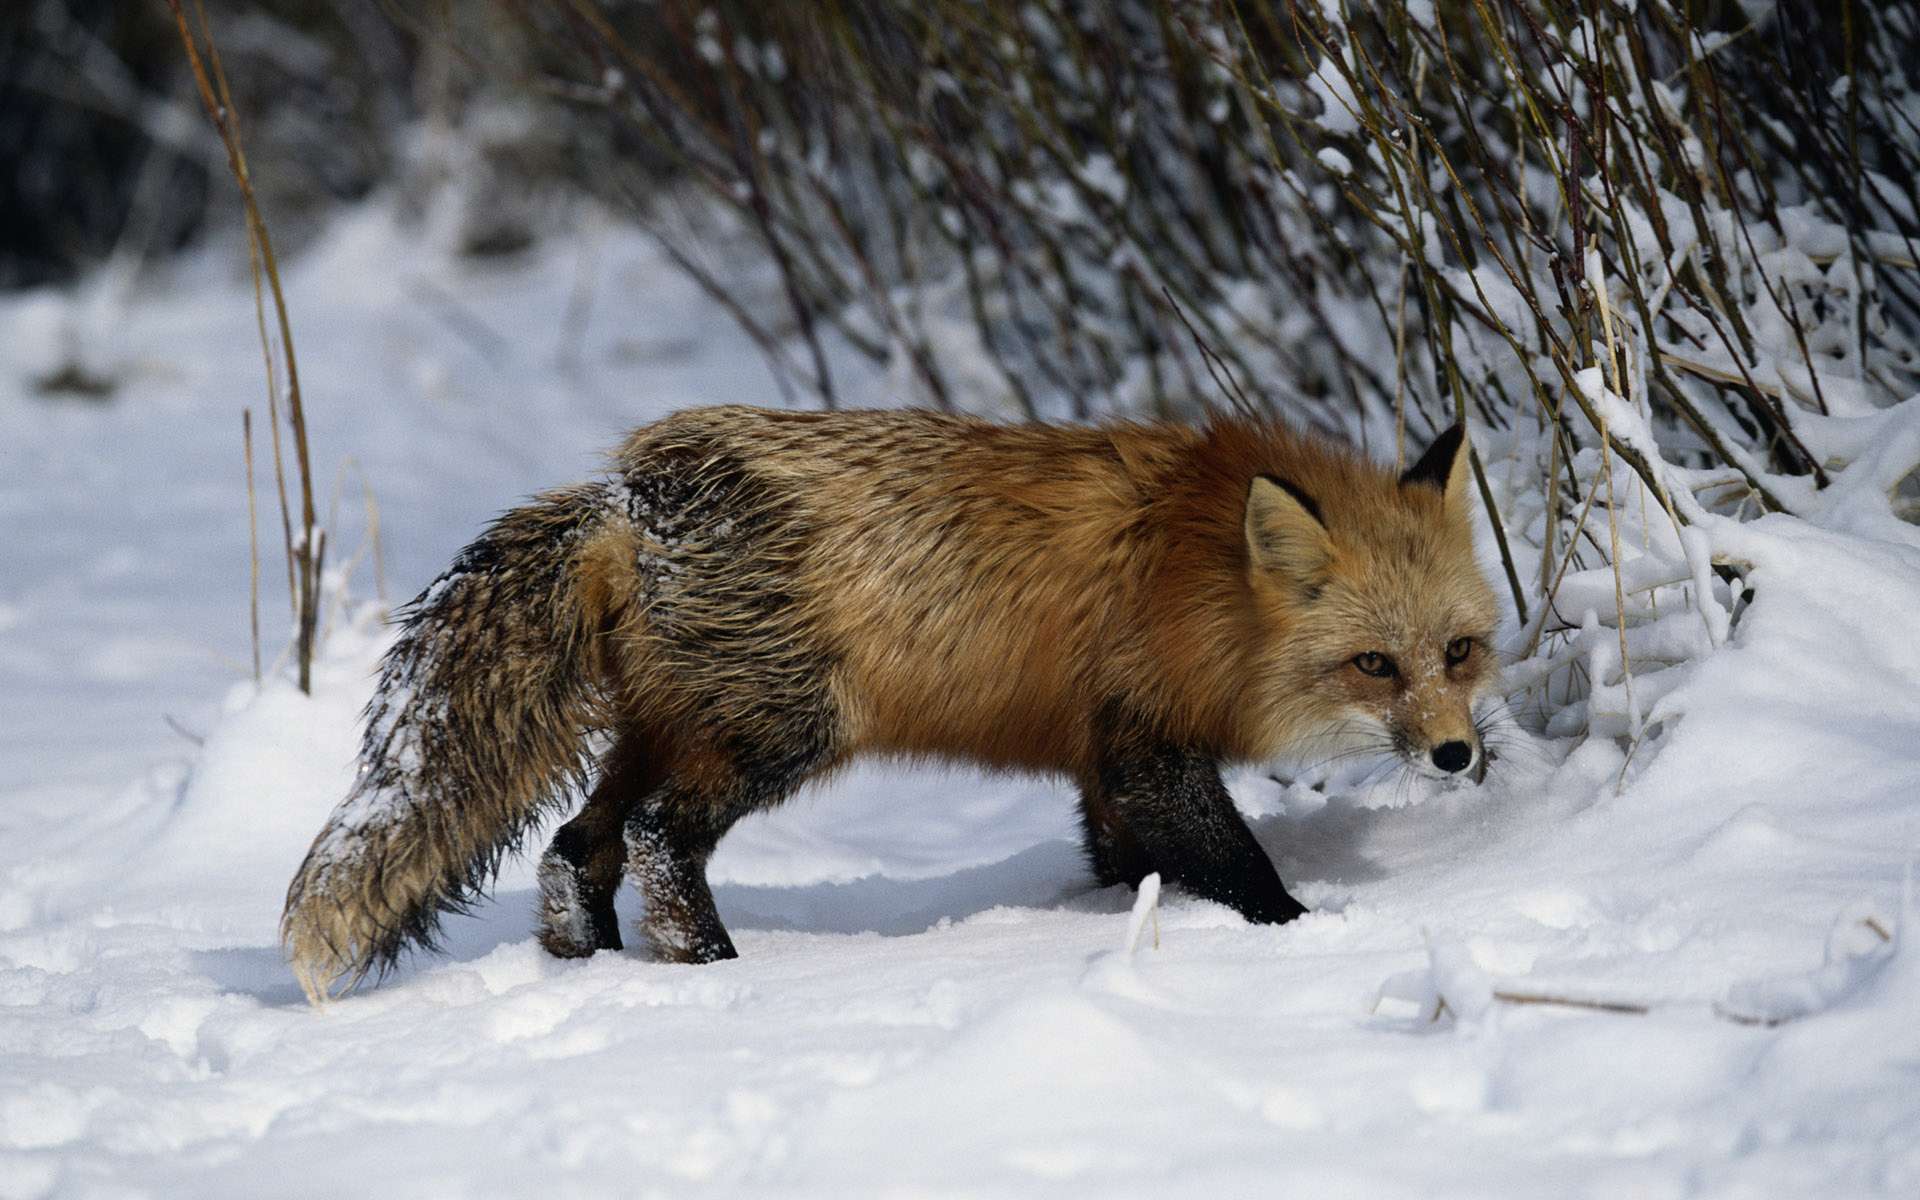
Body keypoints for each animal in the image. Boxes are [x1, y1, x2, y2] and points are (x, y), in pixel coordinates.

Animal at [281, 406, 1501, 1001]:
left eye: (1458, 652)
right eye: (1373, 666)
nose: (1457, 757)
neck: (1195, 575)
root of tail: (630, 492)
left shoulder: (1101, 754)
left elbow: (1122, 863)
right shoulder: (1148, 745)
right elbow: (1237, 864)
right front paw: (1302, 939)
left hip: (663, 729)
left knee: (579, 846)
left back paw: (594, 970)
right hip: (775, 730)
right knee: (657, 837)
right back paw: (716, 974)